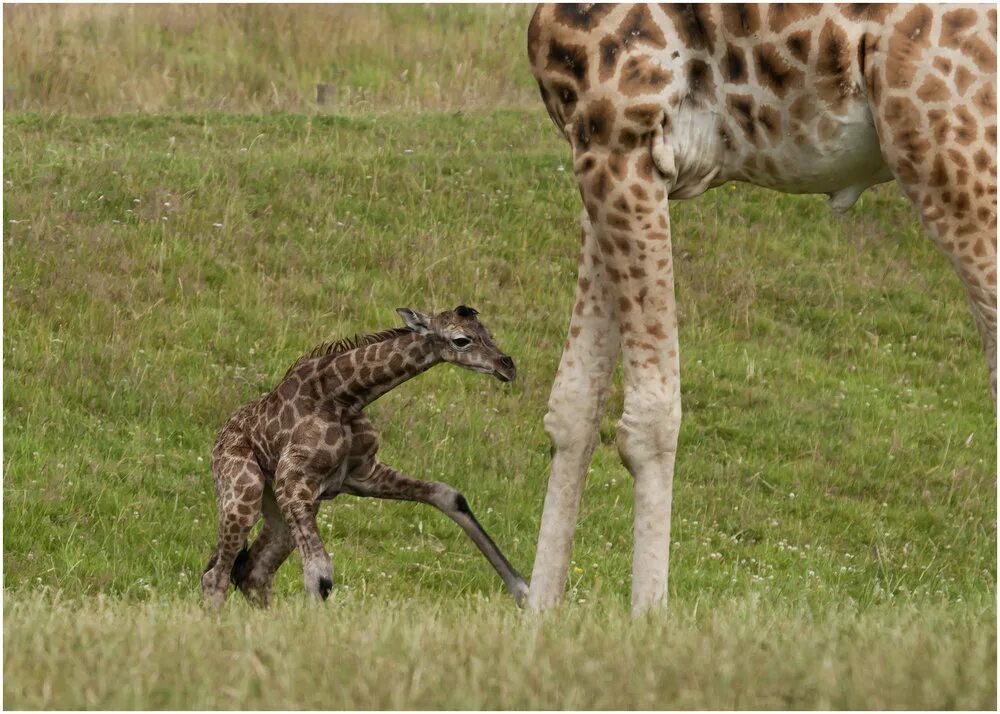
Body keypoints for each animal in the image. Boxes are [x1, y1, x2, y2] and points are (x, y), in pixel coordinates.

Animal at [205, 304, 532, 608]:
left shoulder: (361, 474)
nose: (507, 366)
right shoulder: (292, 480)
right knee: (216, 575)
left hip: (280, 509)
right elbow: (320, 575)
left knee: (251, 570)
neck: (342, 398)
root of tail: (218, 439)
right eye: (461, 340)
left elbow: (448, 495)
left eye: (488, 332)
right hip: (245, 491)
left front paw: (523, 592)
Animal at [528, 4, 996, 612]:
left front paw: (649, 622)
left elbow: (648, 422)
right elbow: (573, 406)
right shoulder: (600, 147)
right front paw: (538, 618)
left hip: (954, 156)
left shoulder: (625, 136)